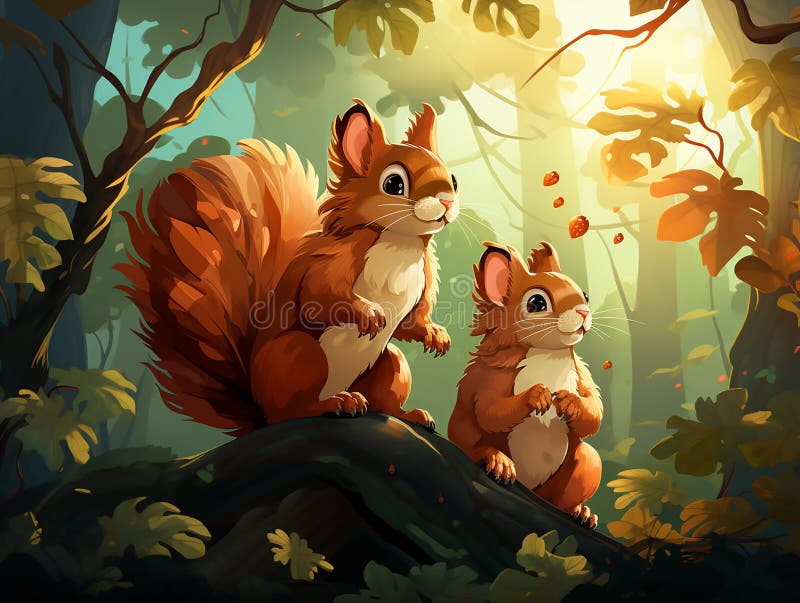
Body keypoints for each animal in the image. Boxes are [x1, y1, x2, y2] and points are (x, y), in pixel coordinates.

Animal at [118, 100, 458, 436]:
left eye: (453, 179)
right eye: (394, 183)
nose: (447, 201)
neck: (401, 242)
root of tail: (259, 409)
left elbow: (409, 322)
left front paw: (434, 334)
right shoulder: (333, 262)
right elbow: (318, 297)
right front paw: (368, 312)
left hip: (389, 367)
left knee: (383, 397)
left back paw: (410, 413)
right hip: (297, 357)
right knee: (292, 410)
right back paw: (336, 403)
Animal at [447, 241, 603, 528]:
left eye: (585, 294)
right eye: (537, 302)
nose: (584, 312)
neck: (548, 354)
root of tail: (531, 487)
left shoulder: (582, 376)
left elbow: (594, 412)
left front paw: (569, 401)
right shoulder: (489, 380)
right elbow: (490, 411)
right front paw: (537, 395)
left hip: (584, 467)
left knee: (563, 499)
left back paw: (582, 512)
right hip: (464, 437)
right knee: (474, 448)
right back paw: (498, 461)